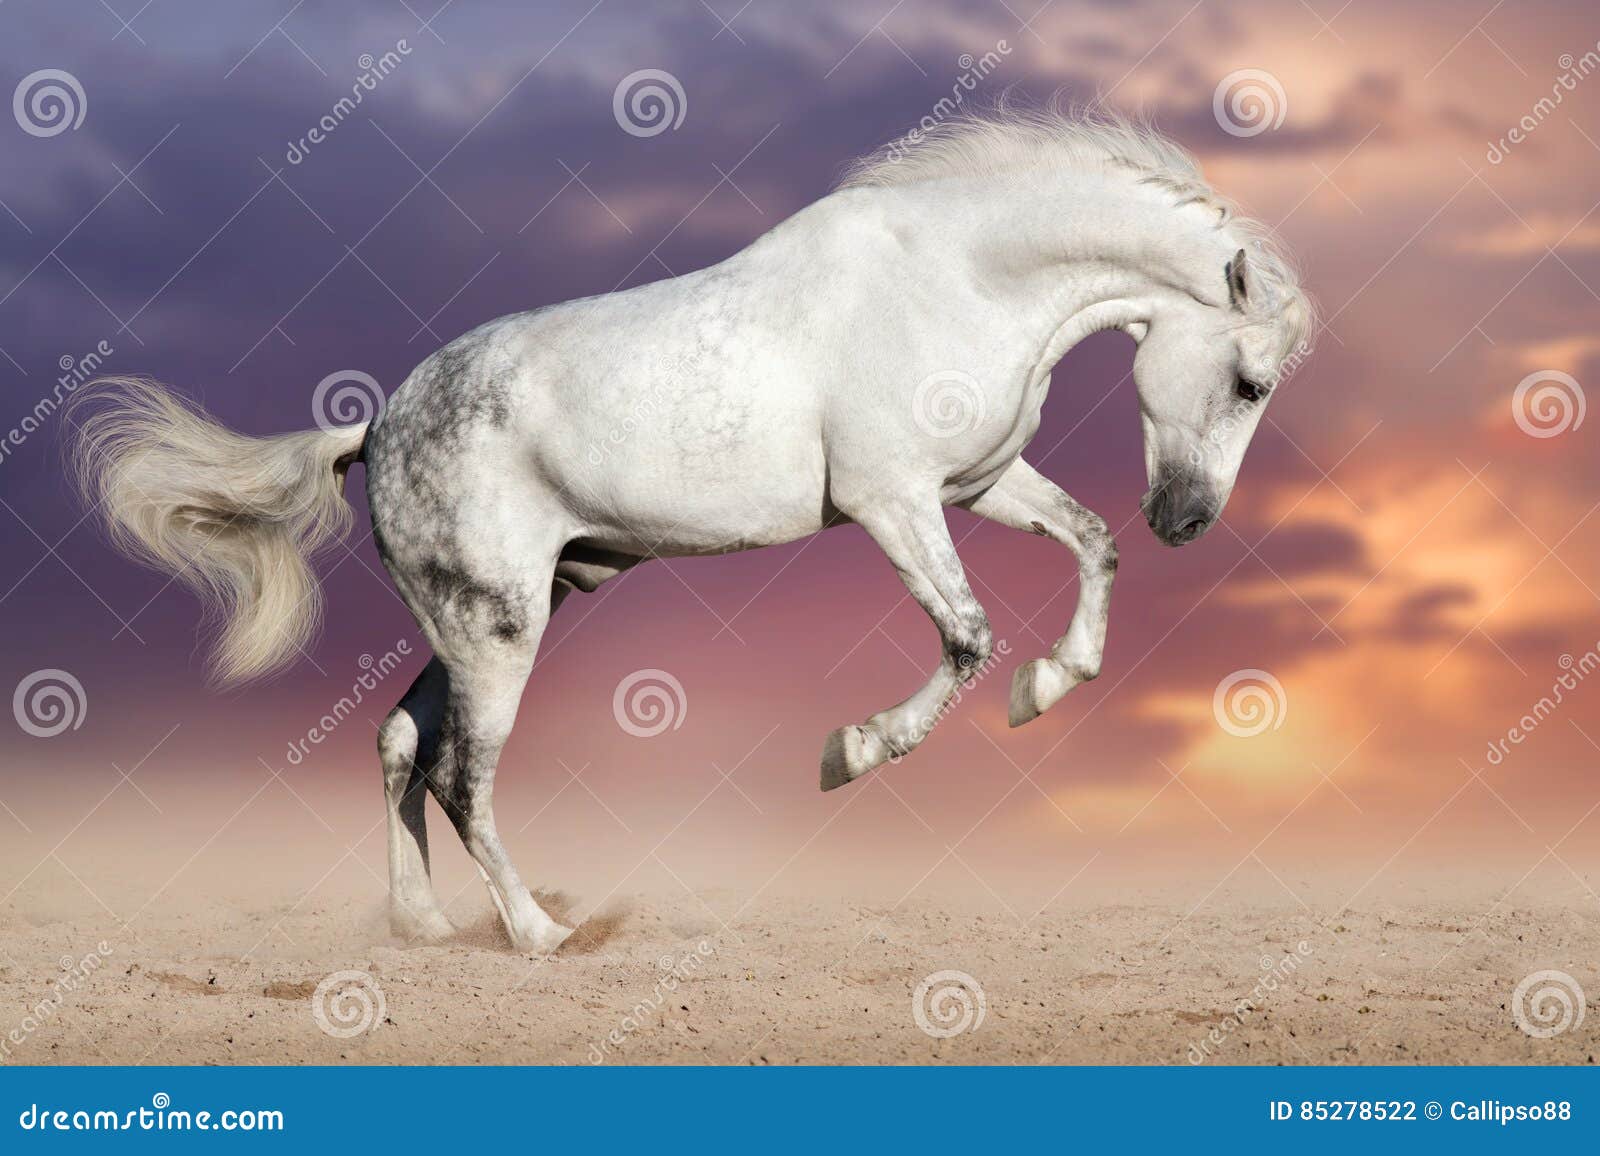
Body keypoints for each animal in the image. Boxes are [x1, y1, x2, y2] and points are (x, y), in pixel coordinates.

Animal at [70, 107, 1314, 953]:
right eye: (1248, 380)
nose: (1188, 521)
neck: (959, 276)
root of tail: (375, 425)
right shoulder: (894, 501)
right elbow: (964, 635)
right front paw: (850, 753)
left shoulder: (976, 482)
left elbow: (1088, 545)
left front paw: (1045, 688)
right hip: (498, 630)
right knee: (461, 775)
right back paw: (539, 934)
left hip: (488, 619)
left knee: (398, 743)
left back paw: (422, 925)